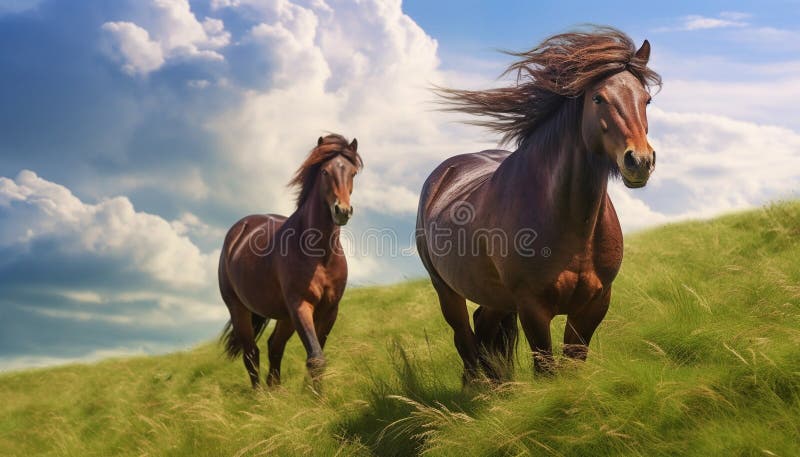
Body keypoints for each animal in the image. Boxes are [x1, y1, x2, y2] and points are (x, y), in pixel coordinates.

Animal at [218, 134, 362, 388]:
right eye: (324, 171)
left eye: (353, 173)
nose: (342, 211)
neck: (319, 253)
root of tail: (239, 230)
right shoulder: (300, 305)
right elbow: (316, 357)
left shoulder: (330, 309)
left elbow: (317, 353)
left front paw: (312, 391)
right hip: (239, 309)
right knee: (251, 353)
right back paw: (260, 395)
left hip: (284, 316)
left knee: (274, 347)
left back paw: (275, 391)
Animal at [416, 27, 661, 381]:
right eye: (598, 98)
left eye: (646, 99)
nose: (640, 161)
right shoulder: (532, 308)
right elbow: (546, 369)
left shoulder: (594, 305)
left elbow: (573, 365)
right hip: (447, 291)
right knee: (466, 341)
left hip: (496, 297)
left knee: (484, 329)